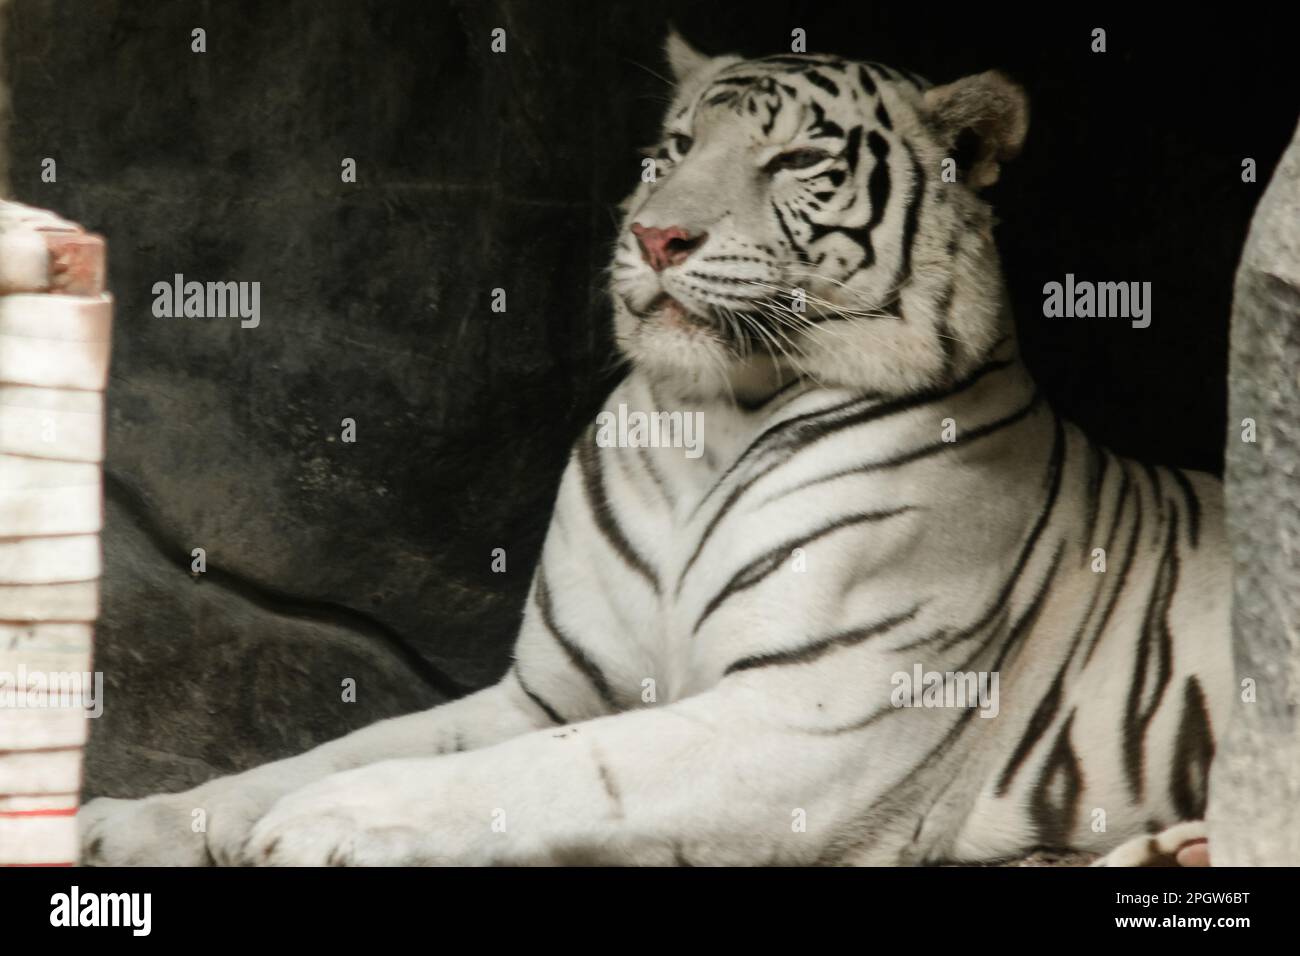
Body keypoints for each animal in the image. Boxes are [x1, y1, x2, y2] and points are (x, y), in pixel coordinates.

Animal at [79, 31, 1232, 867]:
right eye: (674, 150)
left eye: (797, 161)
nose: (655, 236)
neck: (704, 422)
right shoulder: (550, 687)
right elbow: (355, 740)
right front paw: (139, 820)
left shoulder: (813, 711)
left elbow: (564, 771)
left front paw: (327, 820)